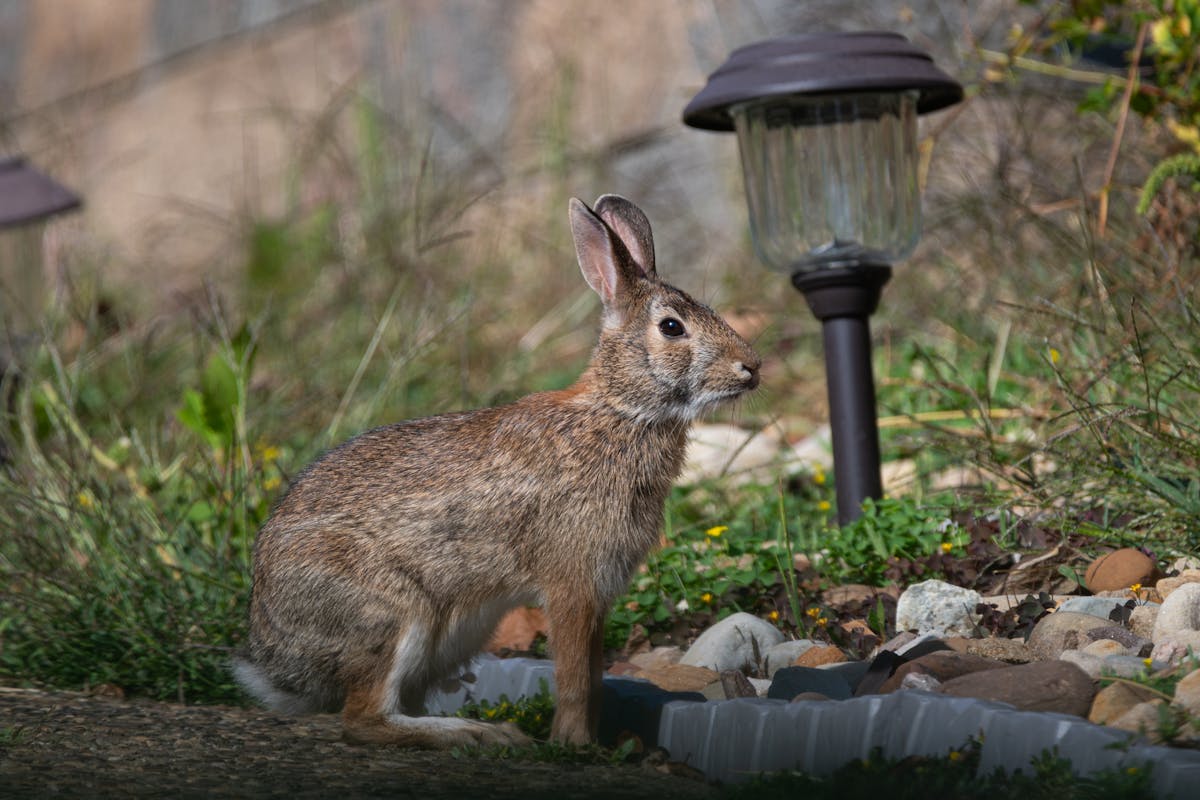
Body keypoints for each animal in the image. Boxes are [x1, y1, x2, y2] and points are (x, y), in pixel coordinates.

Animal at [233, 194, 761, 749]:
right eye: (672, 327)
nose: (752, 367)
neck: (621, 411)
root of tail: (273, 651)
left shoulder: (597, 593)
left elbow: (593, 675)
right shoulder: (573, 584)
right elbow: (575, 678)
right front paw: (573, 746)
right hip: (391, 614)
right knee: (364, 717)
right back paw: (481, 733)